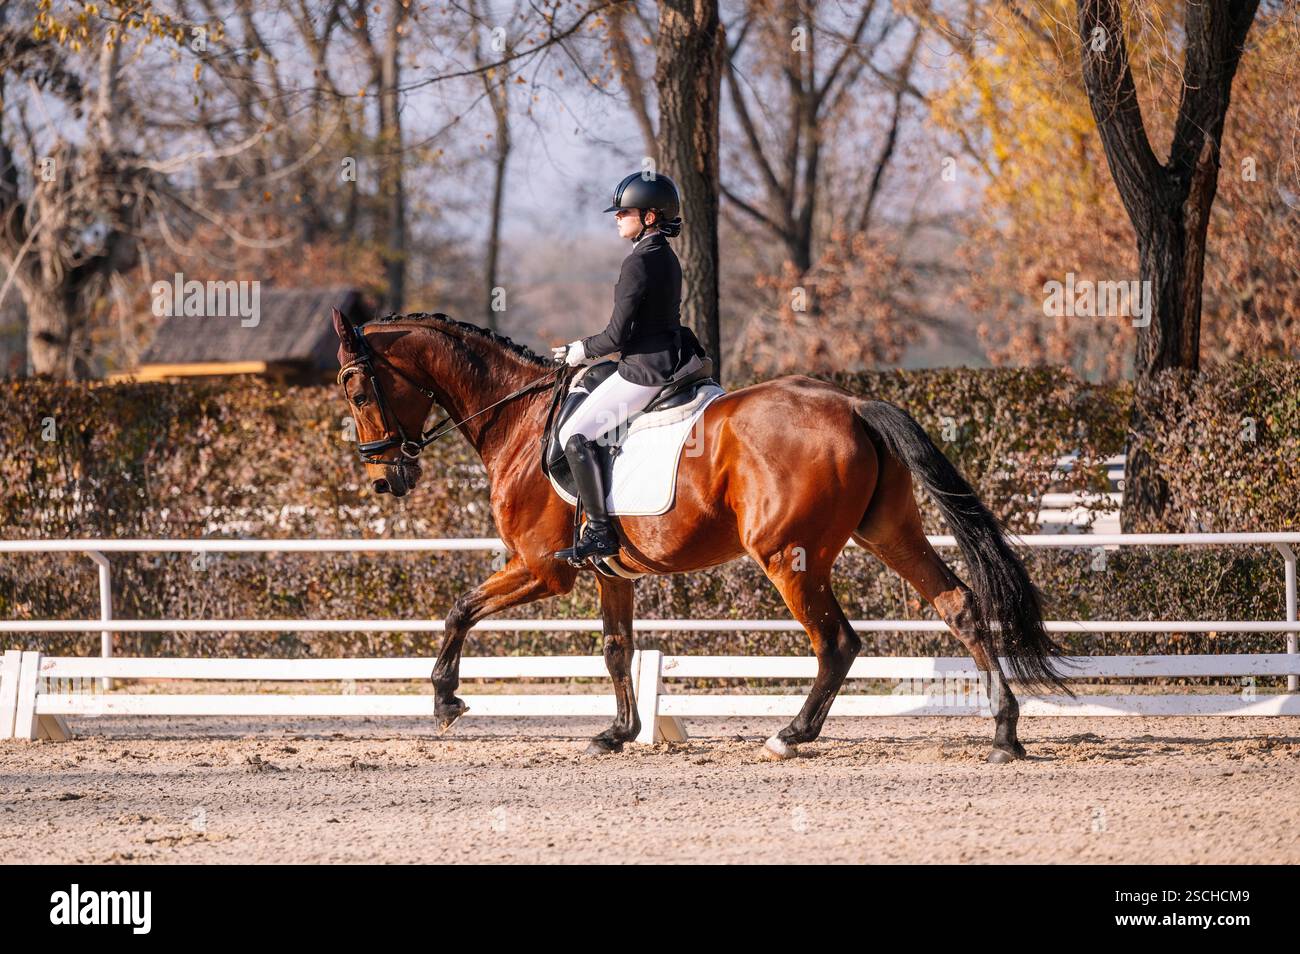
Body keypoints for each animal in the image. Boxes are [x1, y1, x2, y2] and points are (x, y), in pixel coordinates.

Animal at [331, 307, 1069, 762]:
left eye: (357, 388)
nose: (386, 478)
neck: (518, 418)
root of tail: (852, 403)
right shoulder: (608, 574)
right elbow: (616, 650)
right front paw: (618, 732)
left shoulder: (543, 568)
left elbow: (460, 610)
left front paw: (446, 699)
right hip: (889, 532)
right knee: (958, 606)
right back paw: (1004, 734)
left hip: (787, 556)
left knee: (836, 642)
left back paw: (790, 735)